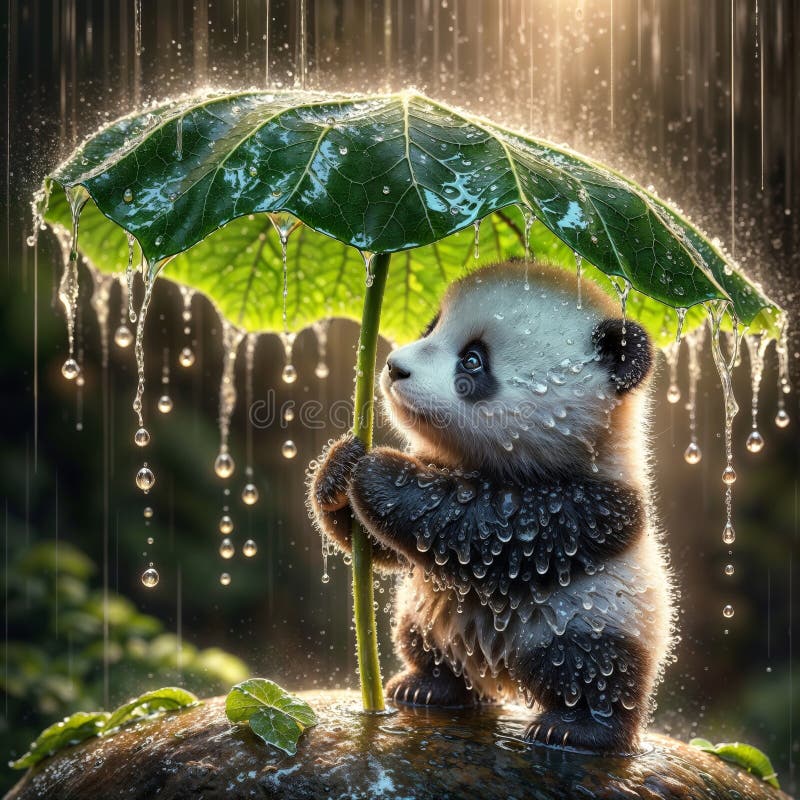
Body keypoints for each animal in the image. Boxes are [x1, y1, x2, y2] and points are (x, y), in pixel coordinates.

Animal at [309, 260, 673, 754]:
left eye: (473, 361)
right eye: (431, 326)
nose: (393, 367)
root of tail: (498, 672)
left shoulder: (598, 502)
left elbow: (496, 533)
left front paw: (381, 474)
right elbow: (395, 551)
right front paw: (339, 469)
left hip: (601, 614)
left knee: (593, 664)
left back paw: (576, 728)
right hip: (428, 612)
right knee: (420, 638)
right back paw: (428, 686)